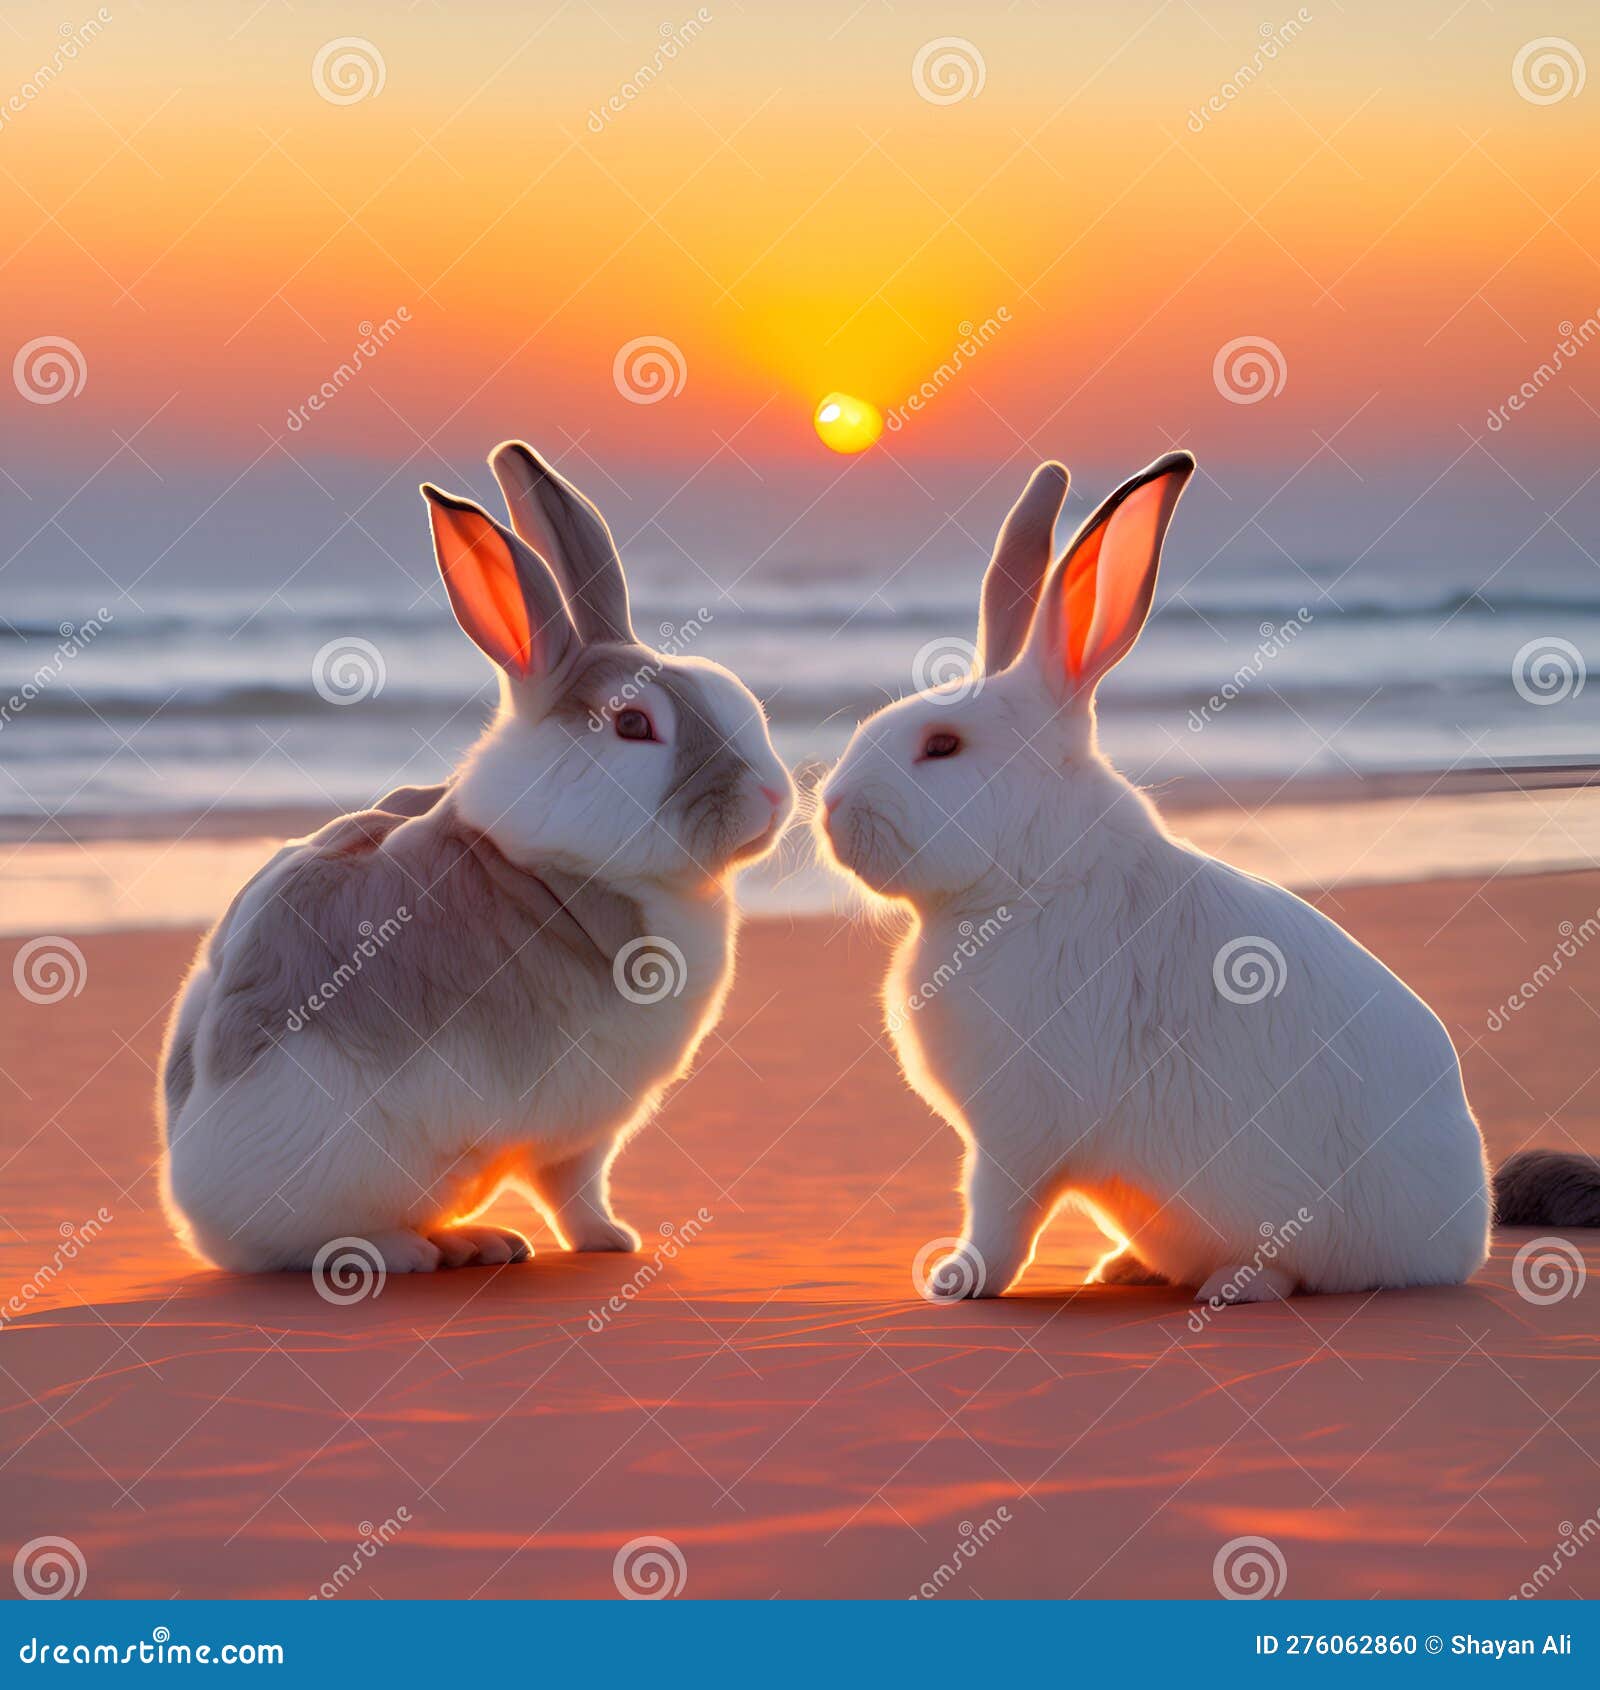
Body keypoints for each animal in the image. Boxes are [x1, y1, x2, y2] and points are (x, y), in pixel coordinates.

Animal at [159, 440, 794, 1274]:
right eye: (633, 725)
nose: (773, 797)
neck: (560, 864)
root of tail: (197, 1209)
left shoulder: (587, 1129)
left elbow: (577, 1188)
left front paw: (613, 1238)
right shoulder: (584, 1126)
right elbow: (573, 1188)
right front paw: (612, 1240)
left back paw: (476, 1240)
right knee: (314, 1243)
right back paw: (416, 1250)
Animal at [817, 450, 1501, 1303]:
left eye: (943, 746)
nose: (829, 808)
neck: (1034, 881)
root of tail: (1462, 1242)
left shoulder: (1018, 1137)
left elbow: (1000, 1216)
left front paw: (958, 1281)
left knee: (1289, 1271)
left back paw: (1229, 1286)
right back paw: (1125, 1268)